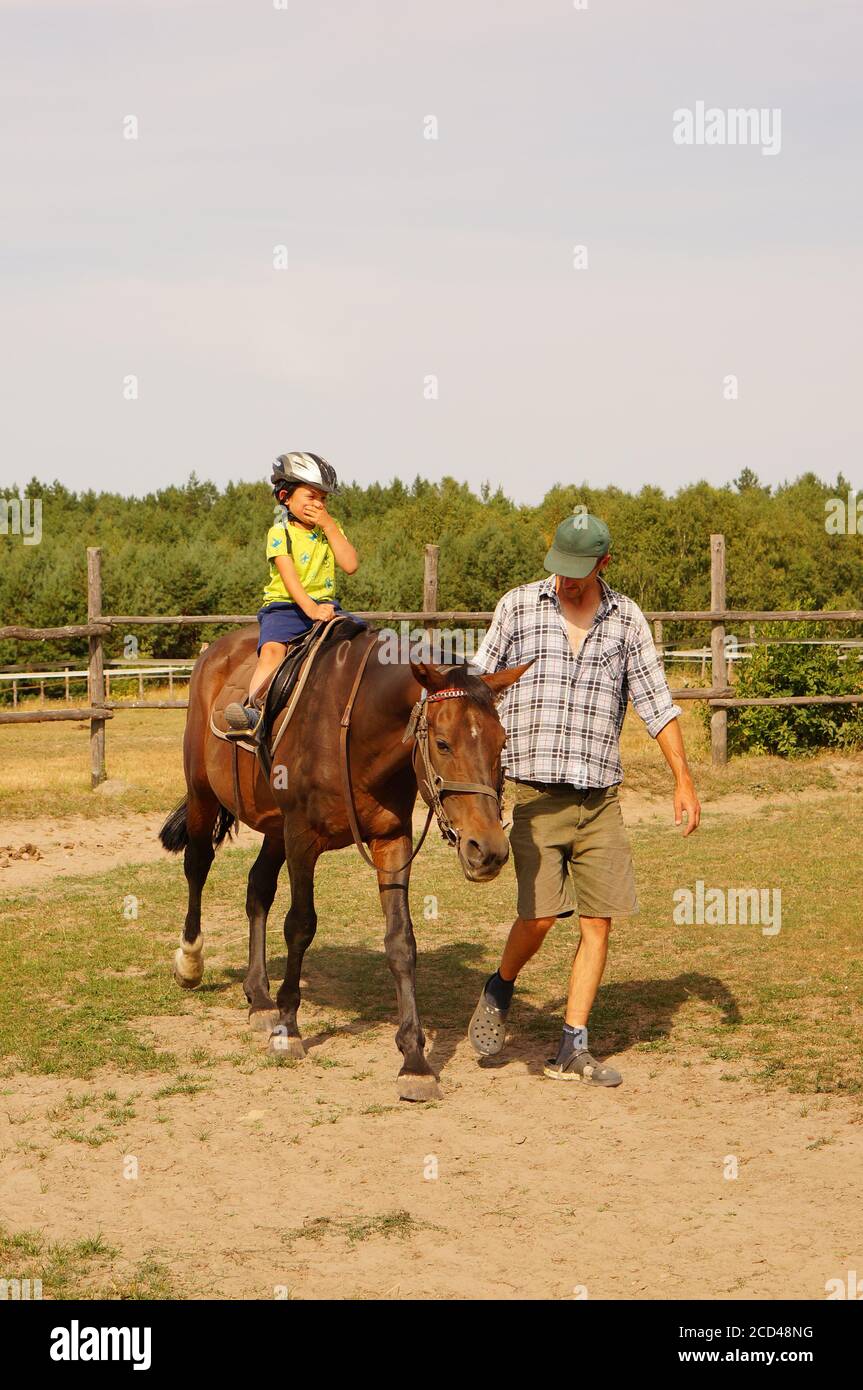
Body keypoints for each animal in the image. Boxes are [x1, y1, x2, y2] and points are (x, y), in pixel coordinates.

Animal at [158, 621, 530, 1100]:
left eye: (502, 743)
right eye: (443, 744)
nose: (488, 850)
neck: (353, 735)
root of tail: (214, 652)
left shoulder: (391, 841)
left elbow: (401, 942)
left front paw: (415, 1061)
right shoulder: (302, 838)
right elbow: (300, 927)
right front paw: (289, 1030)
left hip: (274, 828)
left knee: (257, 888)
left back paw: (259, 997)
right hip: (205, 795)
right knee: (198, 865)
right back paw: (191, 963)